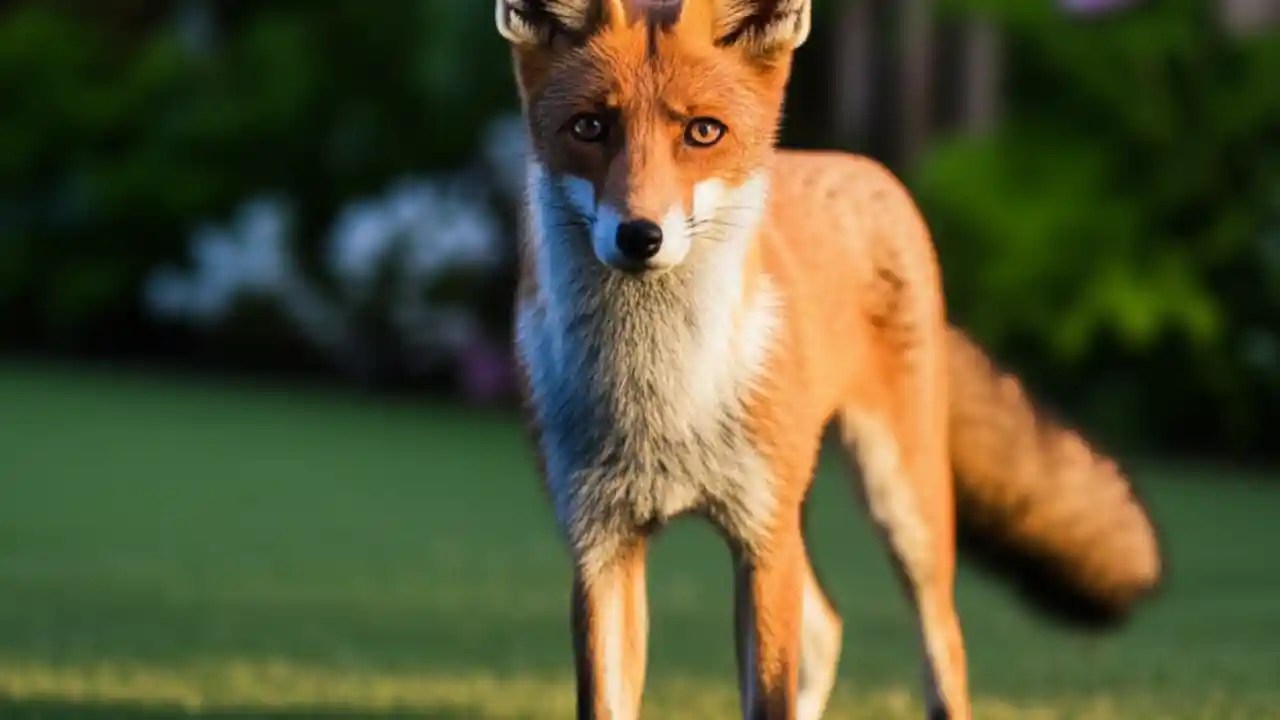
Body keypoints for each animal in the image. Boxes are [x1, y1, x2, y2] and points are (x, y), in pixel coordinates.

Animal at [496, 1, 1163, 718]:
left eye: (704, 132)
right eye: (589, 127)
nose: (640, 236)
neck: (663, 399)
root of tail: (858, 165)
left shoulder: (762, 539)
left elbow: (771, 695)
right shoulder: (601, 546)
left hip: (903, 505)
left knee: (942, 647)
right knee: (826, 628)